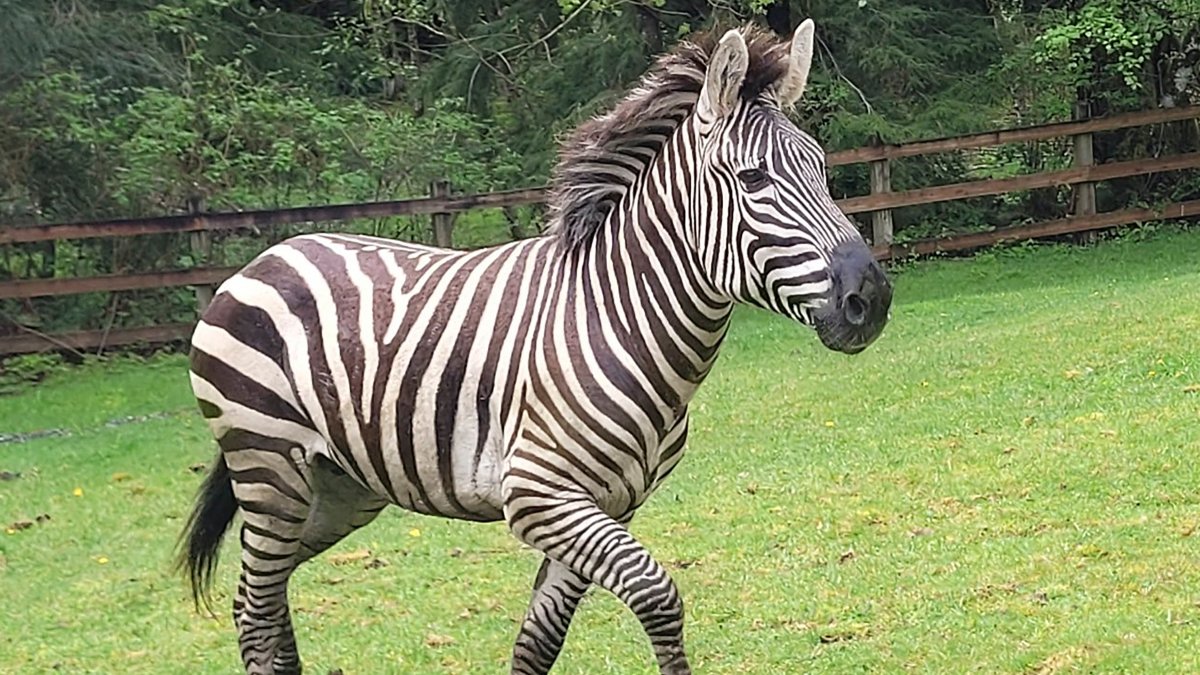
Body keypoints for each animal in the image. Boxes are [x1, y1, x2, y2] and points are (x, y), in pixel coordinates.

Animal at [179, 20, 892, 675]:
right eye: (752, 179)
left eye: (823, 169)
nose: (873, 298)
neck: (621, 320)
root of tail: (264, 257)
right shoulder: (538, 494)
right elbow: (658, 594)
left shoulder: (607, 503)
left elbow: (538, 642)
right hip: (269, 466)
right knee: (256, 607)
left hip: (337, 488)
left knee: (262, 597)